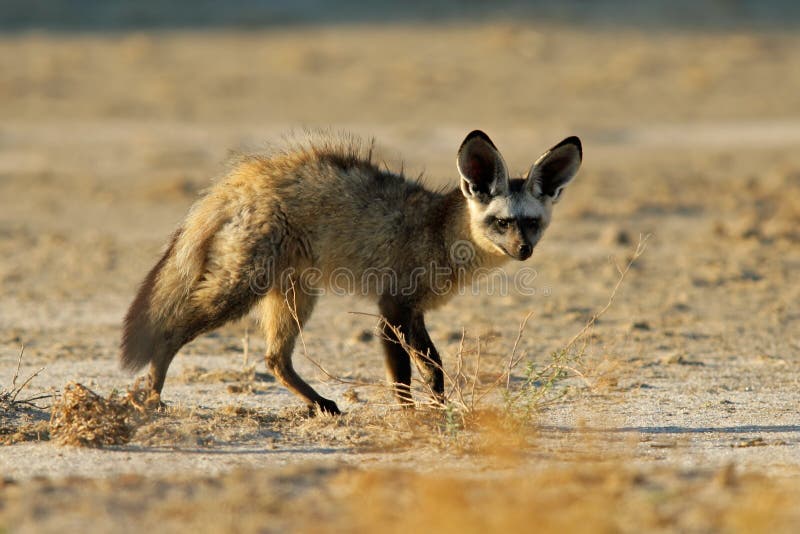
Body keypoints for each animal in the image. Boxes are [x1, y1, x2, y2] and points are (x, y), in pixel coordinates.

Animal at [121, 130, 582, 415]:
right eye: (502, 222)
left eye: (532, 223)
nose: (524, 251)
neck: (437, 232)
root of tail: (245, 177)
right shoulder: (391, 310)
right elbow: (407, 376)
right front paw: (414, 417)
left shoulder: (413, 311)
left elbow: (434, 367)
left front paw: (438, 409)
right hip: (240, 291)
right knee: (170, 333)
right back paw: (152, 397)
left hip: (294, 298)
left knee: (275, 359)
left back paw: (318, 403)